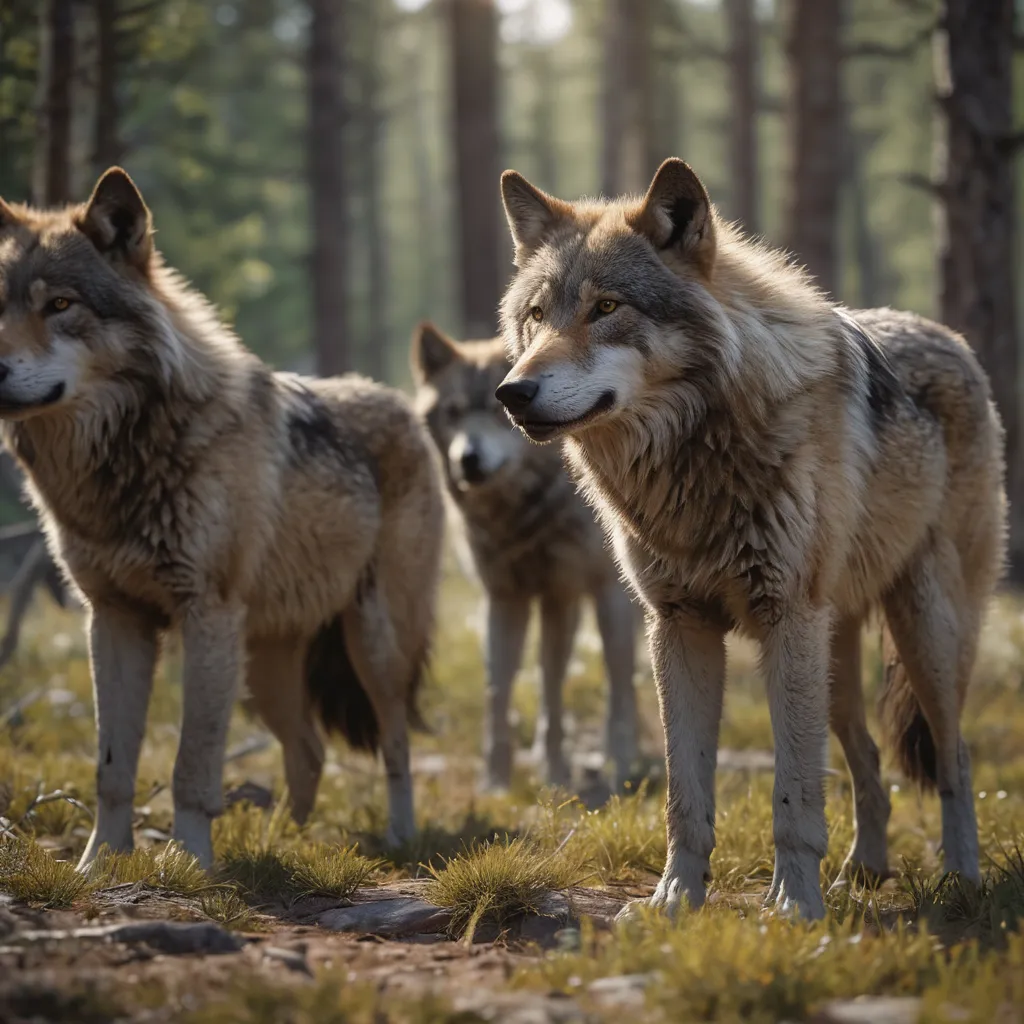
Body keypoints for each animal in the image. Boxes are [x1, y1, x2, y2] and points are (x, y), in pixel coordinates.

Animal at [0, 168, 444, 870]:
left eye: (61, 305)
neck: (126, 461)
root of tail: (400, 402)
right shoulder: (113, 620)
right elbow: (111, 766)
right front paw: (99, 864)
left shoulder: (204, 614)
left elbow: (191, 766)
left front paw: (188, 864)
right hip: (261, 666)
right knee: (309, 749)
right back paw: (286, 840)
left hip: (372, 644)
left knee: (396, 743)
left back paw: (400, 838)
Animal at [411, 322, 638, 792]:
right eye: (453, 412)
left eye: (498, 412)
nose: (468, 459)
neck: (517, 513)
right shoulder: (505, 599)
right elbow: (498, 692)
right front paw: (495, 781)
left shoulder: (560, 596)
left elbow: (551, 690)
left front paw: (555, 774)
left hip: (612, 599)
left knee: (620, 685)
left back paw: (621, 764)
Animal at [494, 158, 1006, 920]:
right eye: (535, 316)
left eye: (607, 308)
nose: (512, 393)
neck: (693, 462)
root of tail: (951, 338)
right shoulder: (678, 627)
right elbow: (686, 795)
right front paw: (675, 899)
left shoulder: (784, 618)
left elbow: (792, 794)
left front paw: (792, 905)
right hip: (833, 663)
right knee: (868, 762)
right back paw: (863, 870)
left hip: (923, 637)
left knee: (955, 755)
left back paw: (959, 878)